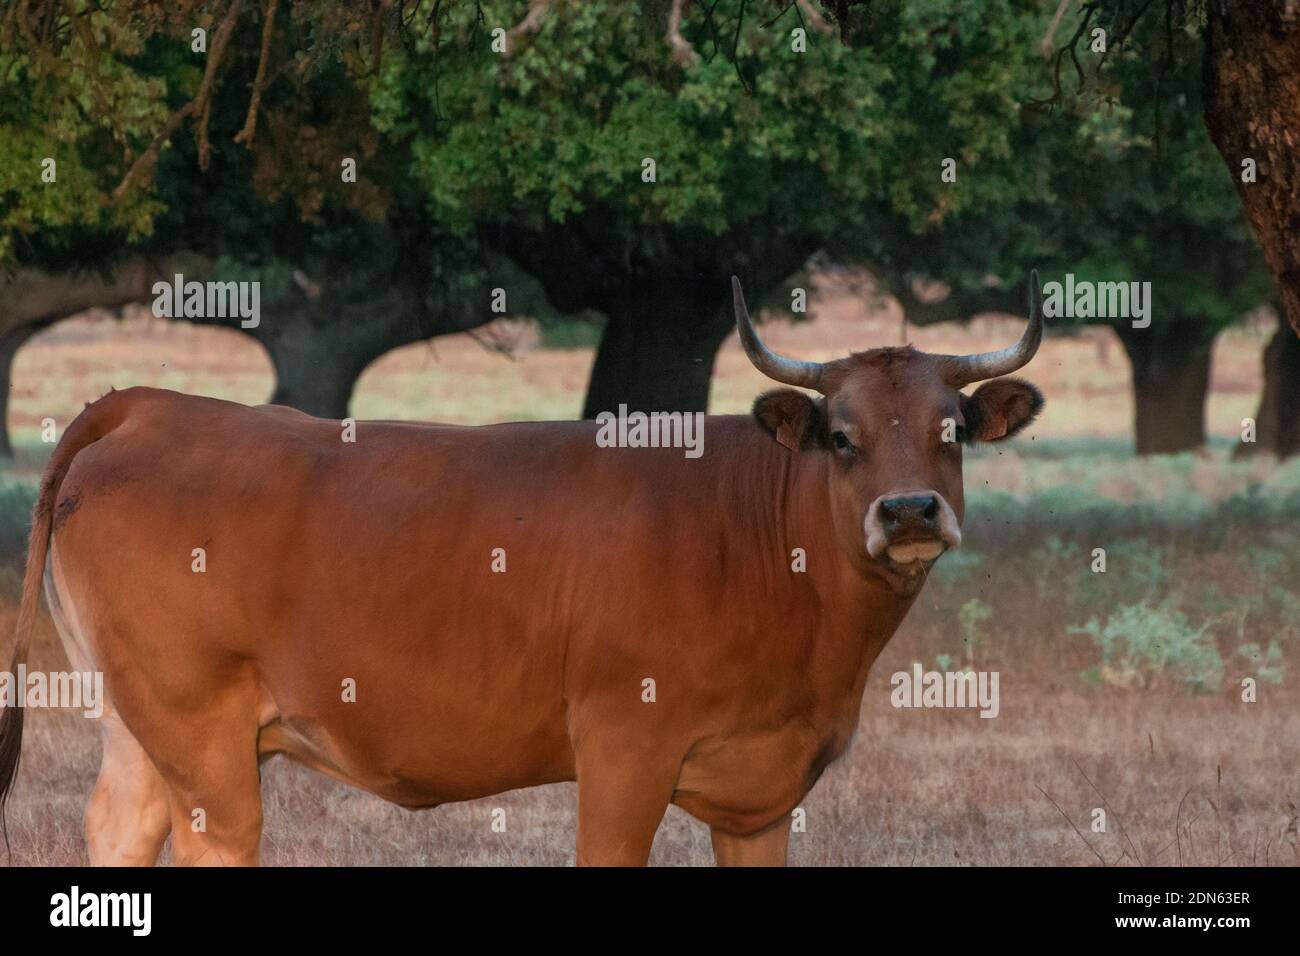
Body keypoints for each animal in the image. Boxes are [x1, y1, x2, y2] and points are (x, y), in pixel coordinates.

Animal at [0, 274, 1044, 866]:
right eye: (841, 435)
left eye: (950, 429)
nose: (908, 512)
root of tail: (153, 404)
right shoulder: (624, 749)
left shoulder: (761, 797)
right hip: (205, 736)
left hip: (139, 725)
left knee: (118, 828)